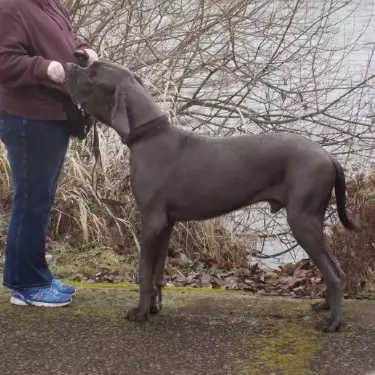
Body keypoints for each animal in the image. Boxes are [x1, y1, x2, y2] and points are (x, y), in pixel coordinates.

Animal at [63, 61, 360, 332]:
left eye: (93, 73)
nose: (68, 64)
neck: (149, 137)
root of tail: (329, 156)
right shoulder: (166, 223)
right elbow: (158, 271)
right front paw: (155, 307)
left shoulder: (151, 221)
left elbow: (144, 271)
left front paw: (140, 312)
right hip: (310, 220)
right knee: (336, 268)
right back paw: (325, 307)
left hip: (302, 220)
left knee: (334, 273)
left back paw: (333, 322)